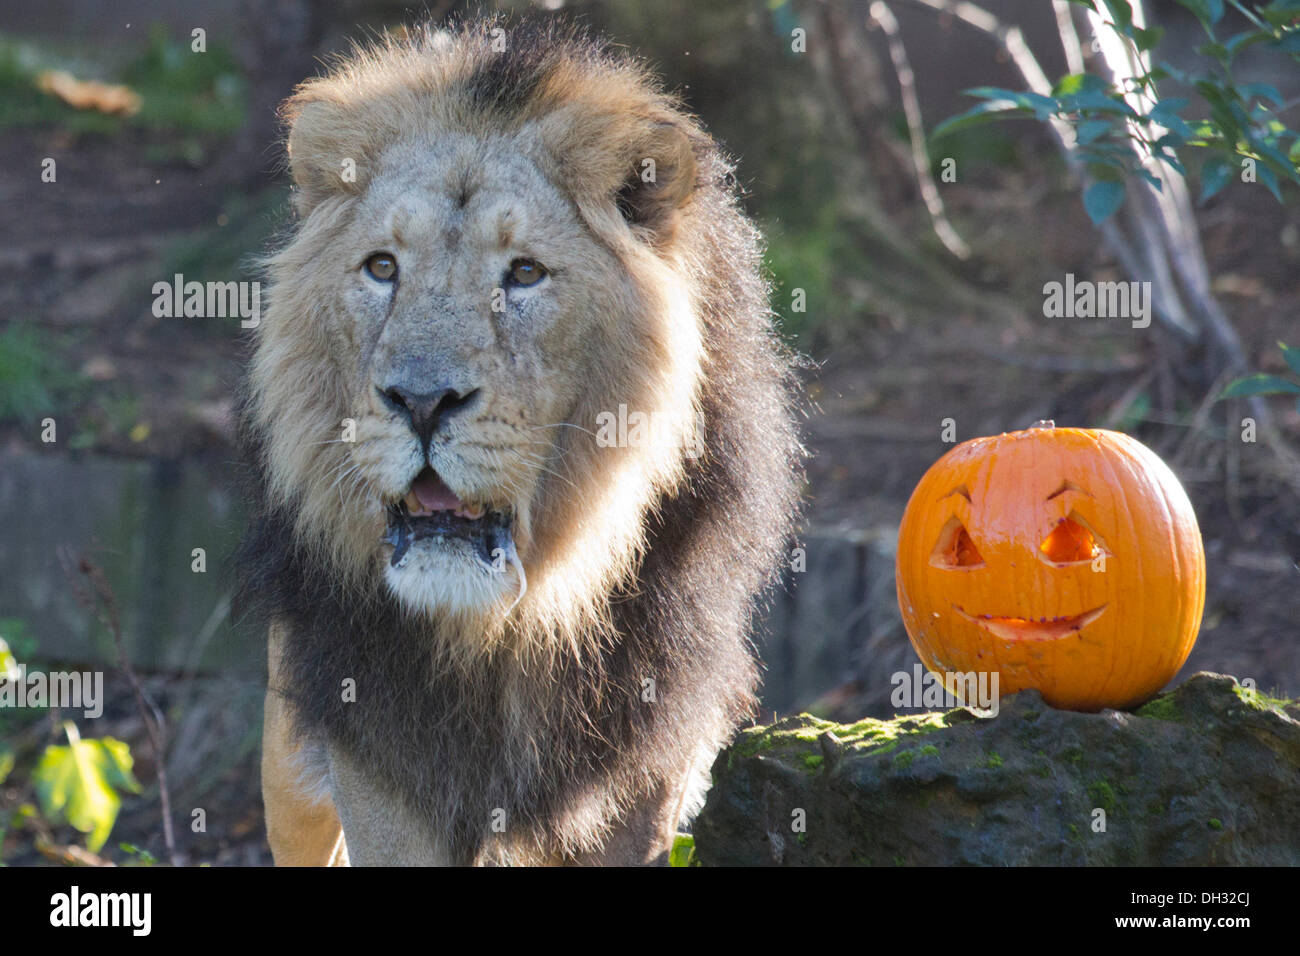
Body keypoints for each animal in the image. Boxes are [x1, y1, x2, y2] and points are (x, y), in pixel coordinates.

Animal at [236, 16, 804, 866]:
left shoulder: (648, 758)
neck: (511, 624)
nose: (421, 401)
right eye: (382, 267)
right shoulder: (379, 752)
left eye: (526, 273)